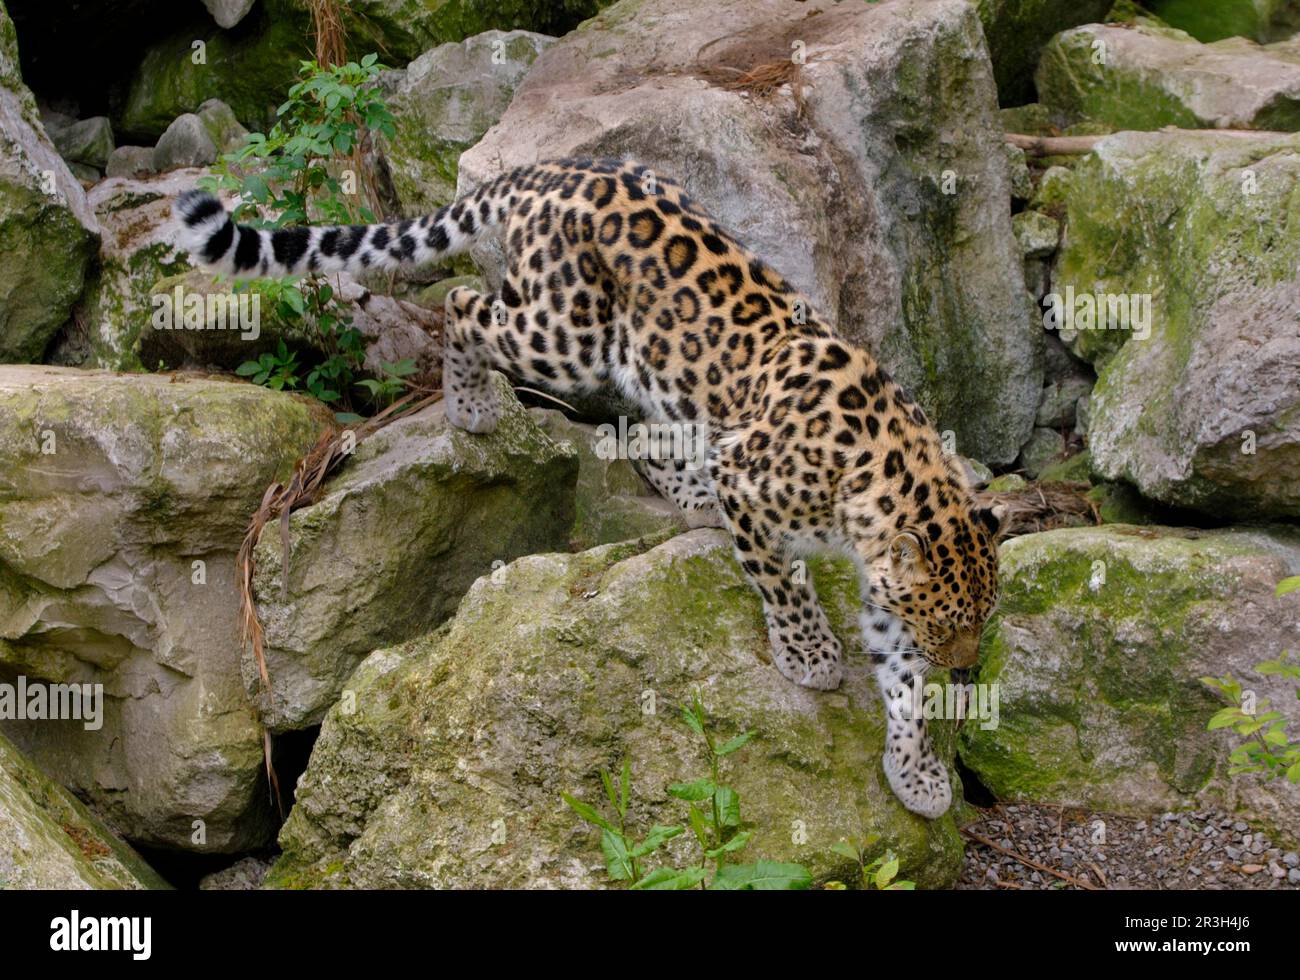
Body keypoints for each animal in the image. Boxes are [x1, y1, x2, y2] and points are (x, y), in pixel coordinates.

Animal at [175, 157, 1005, 819]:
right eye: (948, 622)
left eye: (979, 618)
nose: (965, 665)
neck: (887, 483)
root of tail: (550, 170)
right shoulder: (753, 482)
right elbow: (783, 580)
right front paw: (809, 654)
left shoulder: (882, 582)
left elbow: (903, 686)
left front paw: (917, 772)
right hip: (565, 334)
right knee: (466, 306)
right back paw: (471, 408)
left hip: (643, 359)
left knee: (637, 428)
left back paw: (686, 490)